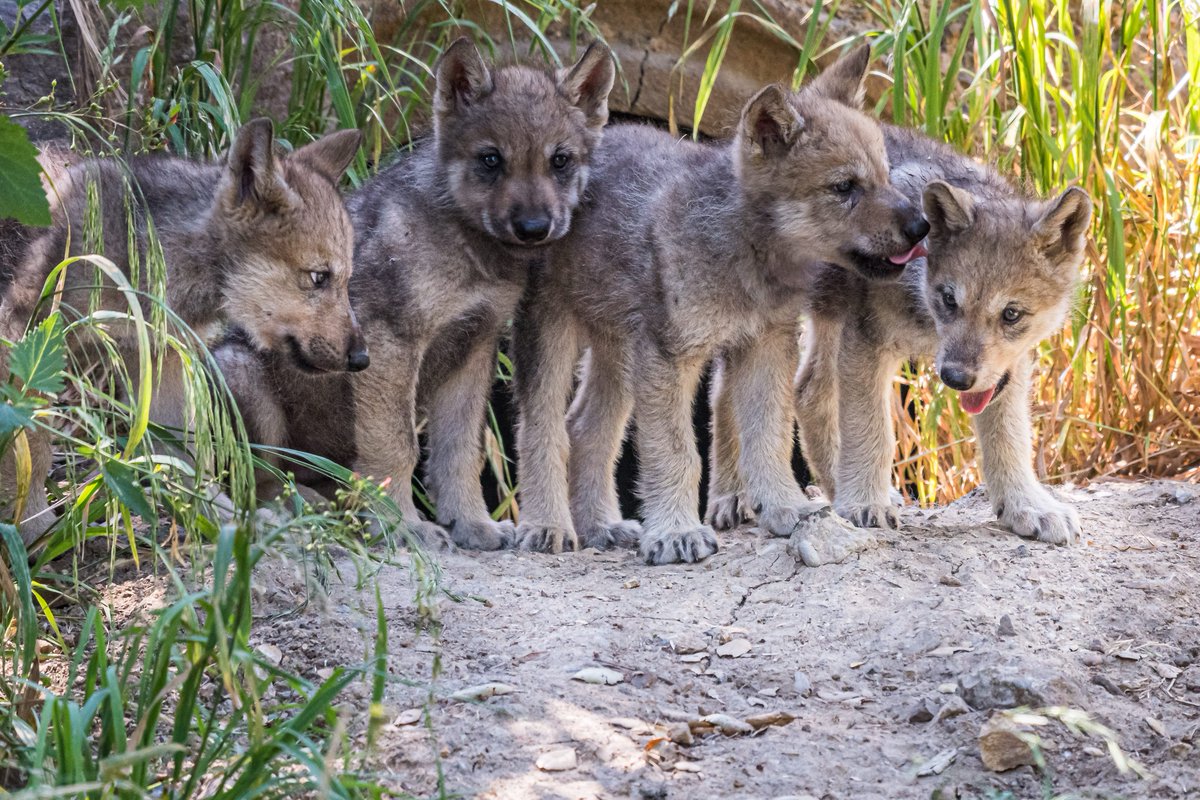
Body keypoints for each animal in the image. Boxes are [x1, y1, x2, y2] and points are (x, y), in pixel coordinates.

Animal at [1, 119, 365, 540]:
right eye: (319, 277)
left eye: (346, 280)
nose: (362, 357)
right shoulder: (24, 347)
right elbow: (31, 448)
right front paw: (31, 531)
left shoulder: (162, 371)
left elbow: (188, 463)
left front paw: (226, 520)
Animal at [213, 39, 616, 550]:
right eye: (491, 160)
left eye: (560, 160)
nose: (533, 229)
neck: (467, 249)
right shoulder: (389, 342)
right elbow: (398, 447)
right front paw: (401, 527)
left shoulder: (474, 346)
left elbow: (458, 451)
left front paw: (471, 524)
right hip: (243, 377)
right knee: (257, 477)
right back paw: (308, 508)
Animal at [512, 45, 931, 565]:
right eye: (844, 187)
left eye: (884, 176)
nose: (921, 227)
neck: (743, 254)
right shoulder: (670, 356)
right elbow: (678, 453)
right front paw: (676, 532)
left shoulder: (765, 345)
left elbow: (769, 438)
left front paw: (787, 507)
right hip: (554, 335)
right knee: (540, 428)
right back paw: (547, 526)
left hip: (618, 350)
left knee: (586, 427)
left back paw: (601, 526)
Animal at [708, 125, 1092, 546]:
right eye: (949, 300)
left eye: (1011, 314)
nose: (955, 378)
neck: (921, 299)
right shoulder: (867, 342)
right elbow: (874, 431)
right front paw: (865, 503)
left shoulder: (1006, 369)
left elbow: (1009, 437)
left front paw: (1028, 506)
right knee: (724, 396)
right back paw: (731, 497)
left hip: (827, 320)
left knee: (807, 393)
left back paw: (832, 489)